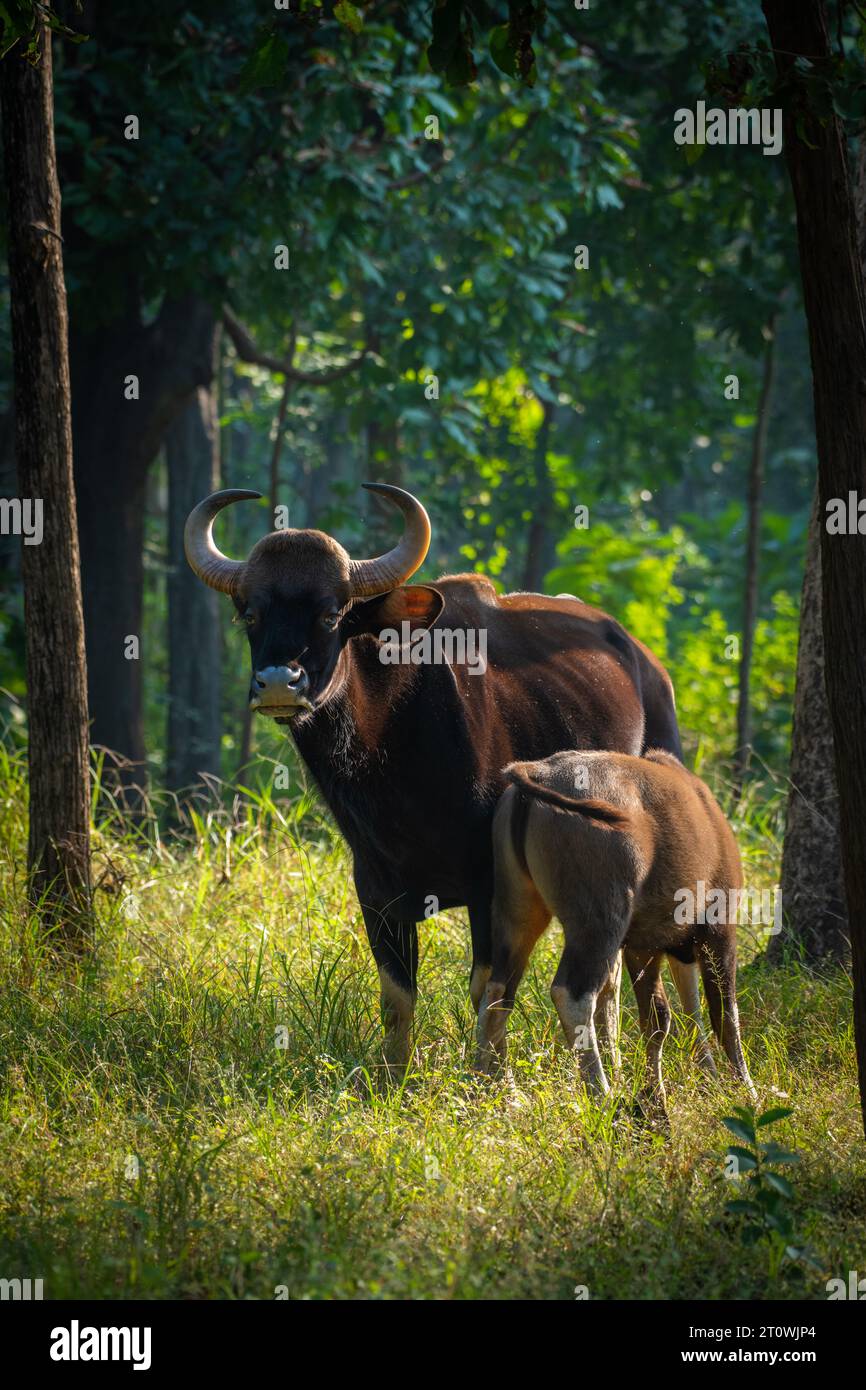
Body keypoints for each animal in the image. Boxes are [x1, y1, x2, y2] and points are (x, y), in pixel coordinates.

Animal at [184, 483, 702, 1072]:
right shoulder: (374, 890)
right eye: (250, 613)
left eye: (332, 613)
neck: (395, 768)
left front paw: (491, 1076)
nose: (277, 682)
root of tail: (643, 660)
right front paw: (393, 1076)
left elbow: (489, 991)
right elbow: (396, 997)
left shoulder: (489, 886)